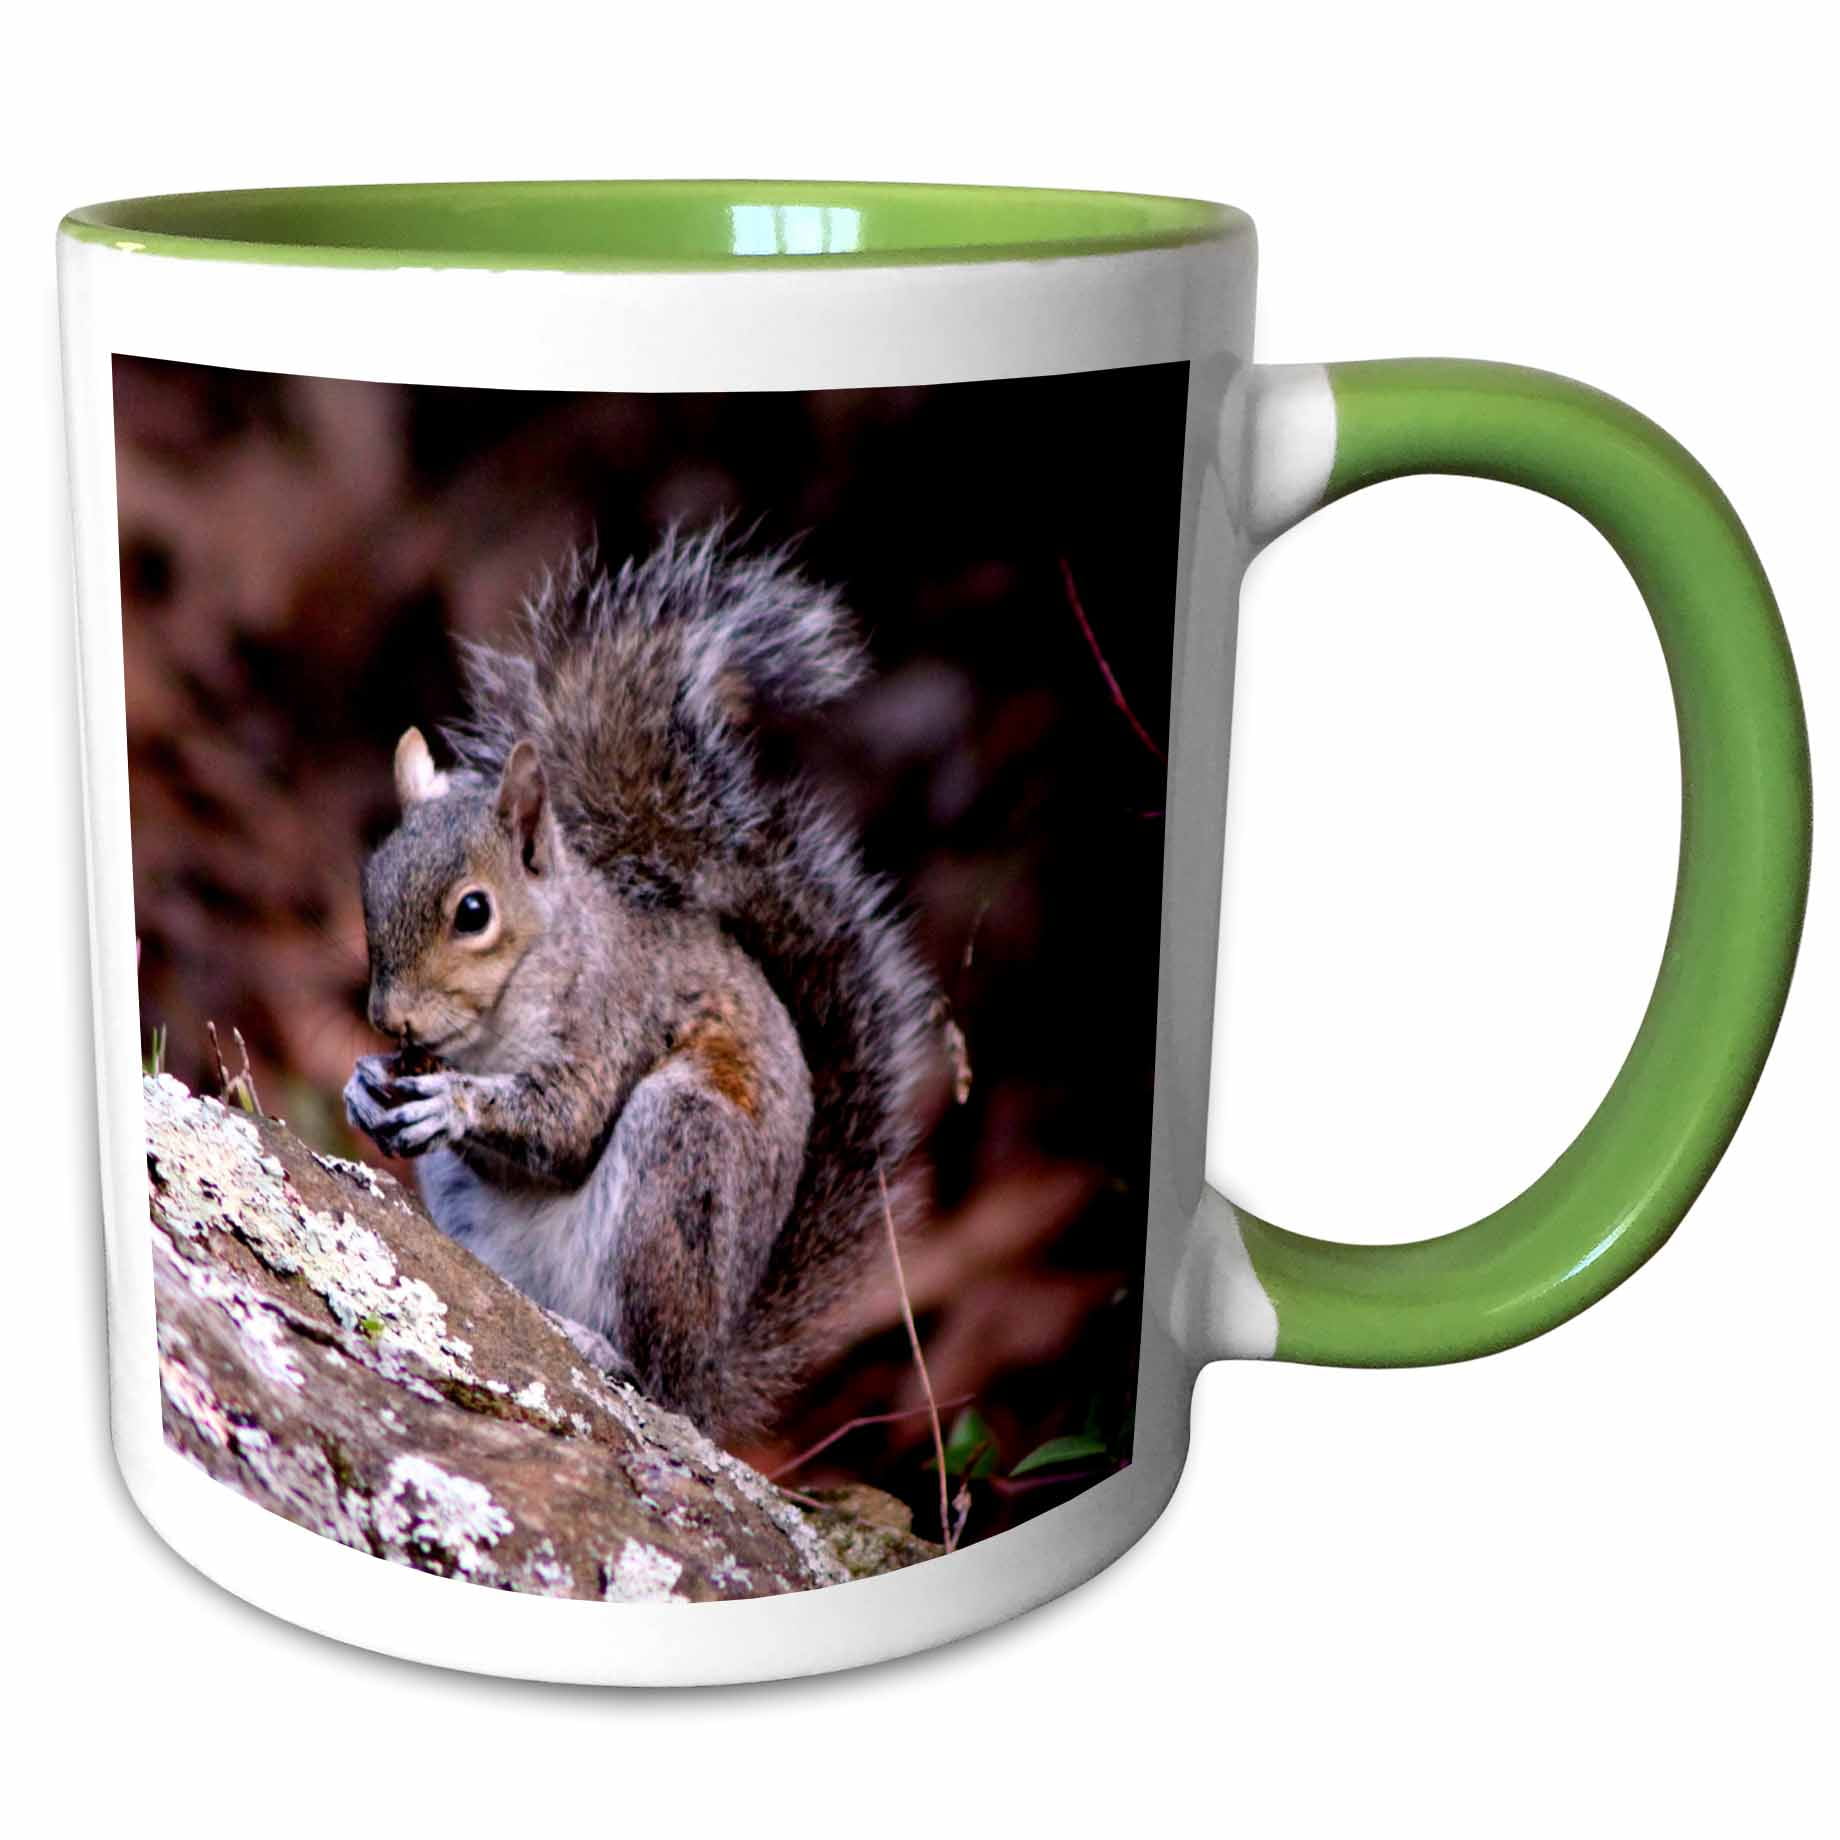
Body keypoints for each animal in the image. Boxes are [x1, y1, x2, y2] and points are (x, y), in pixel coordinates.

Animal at [343, 533, 939, 1439]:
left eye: (473, 912)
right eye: (370, 884)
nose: (389, 1017)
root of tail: (712, 1375)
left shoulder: (611, 1015)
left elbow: (568, 1128)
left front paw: (454, 1103)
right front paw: (364, 1084)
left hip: (679, 1157)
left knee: (656, 1373)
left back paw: (611, 1354)